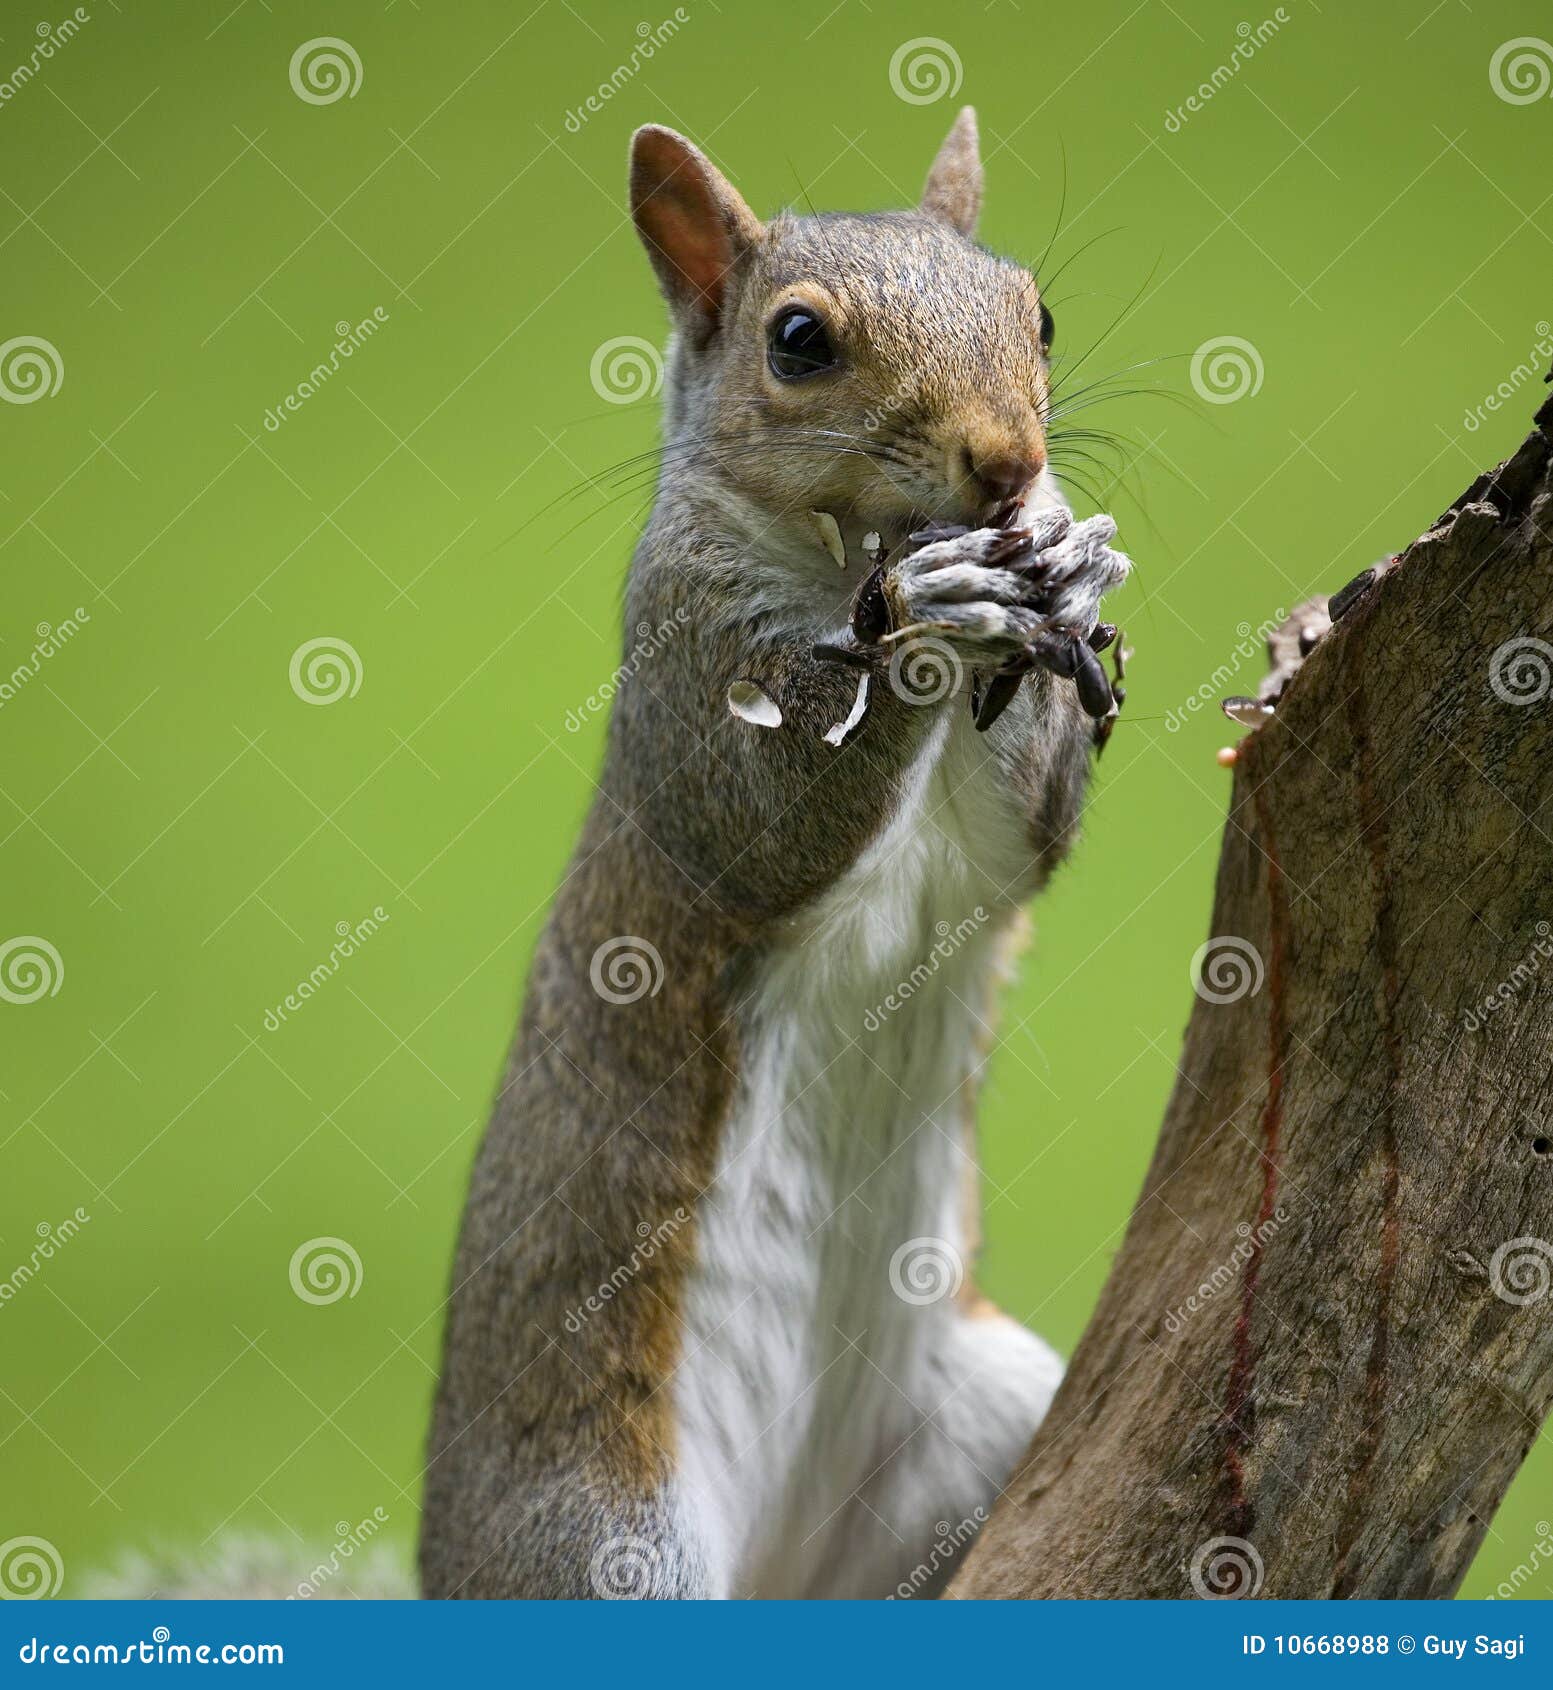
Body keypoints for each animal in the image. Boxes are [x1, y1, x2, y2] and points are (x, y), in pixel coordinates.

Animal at [419, 108, 1132, 1601]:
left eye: (1035, 312)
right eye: (795, 341)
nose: (1007, 463)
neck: (837, 551)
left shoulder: (981, 843)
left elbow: (1015, 842)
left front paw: (1062, 558)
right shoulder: (686, 678)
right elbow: (766, 819)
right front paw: (929, 598)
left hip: (981, 1418)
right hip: (605, 1545)